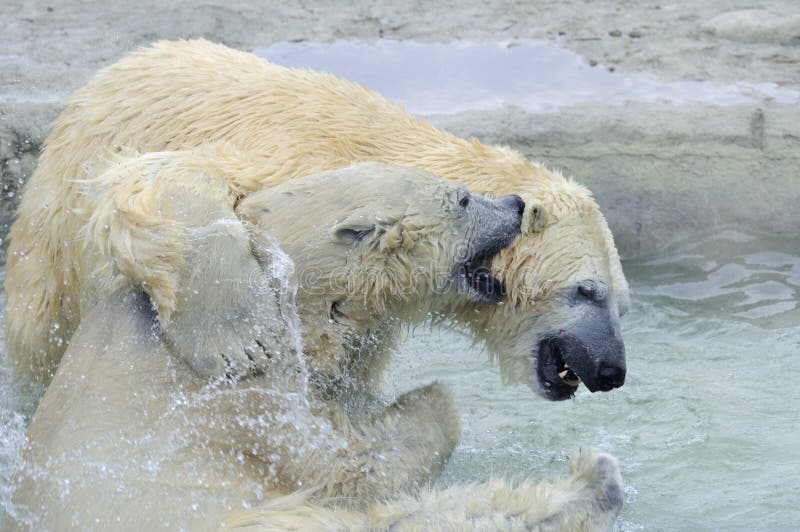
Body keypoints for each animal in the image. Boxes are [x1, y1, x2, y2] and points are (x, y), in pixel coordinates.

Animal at [5, 39, 628, 401]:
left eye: (621, 302)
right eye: (586, 291)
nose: (612, 371)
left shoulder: (373, 307)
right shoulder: (299, 167)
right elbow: (162, 180)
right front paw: (240, 337)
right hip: (51, 243)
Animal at [9, 155, 622, 530]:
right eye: (465, 198)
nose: (516, 204)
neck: (297, 286)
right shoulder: (230, 399)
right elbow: (339, 467)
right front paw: (427, 402)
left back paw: (594, 482)